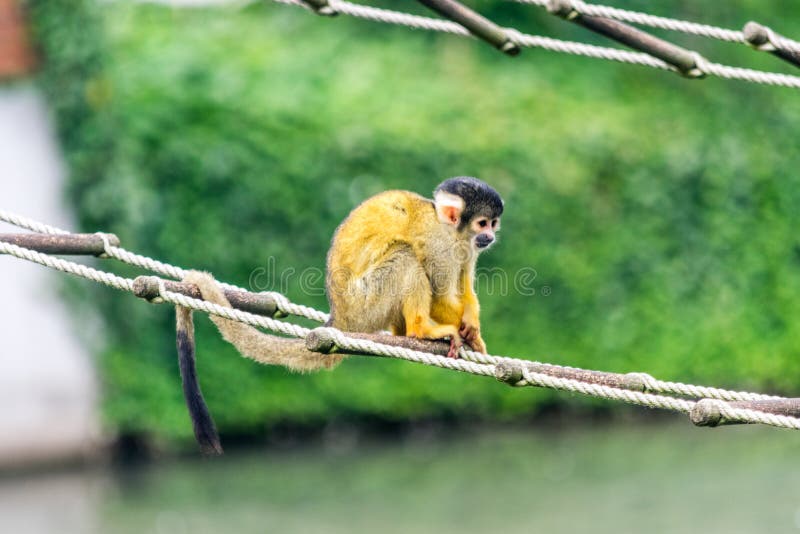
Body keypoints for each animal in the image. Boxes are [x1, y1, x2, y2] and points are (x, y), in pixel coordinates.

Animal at [176, 177, 502, 451]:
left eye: (493, 223)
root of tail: (341, 316)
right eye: (482, 223)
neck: (453, 232)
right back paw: (420, 330)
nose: (489, 236)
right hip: (367, 303)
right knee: (406, 255)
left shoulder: (466, 248)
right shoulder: (439, 245)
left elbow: (464, 285)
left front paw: (473, 329)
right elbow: (439, 289)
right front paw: (461, 329)